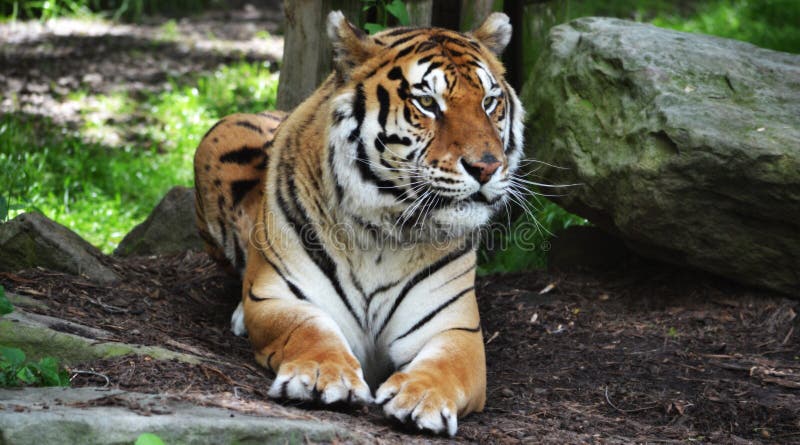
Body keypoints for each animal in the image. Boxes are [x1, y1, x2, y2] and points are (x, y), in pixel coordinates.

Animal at [193, 11, 524, 436]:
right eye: (427, 103)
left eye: (489, 102)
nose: (486, 167)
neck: (384, 230)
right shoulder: (284, 298)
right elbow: (309, 330)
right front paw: (320, 375)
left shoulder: (454, 328)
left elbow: (444, 364)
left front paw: (423, 398)